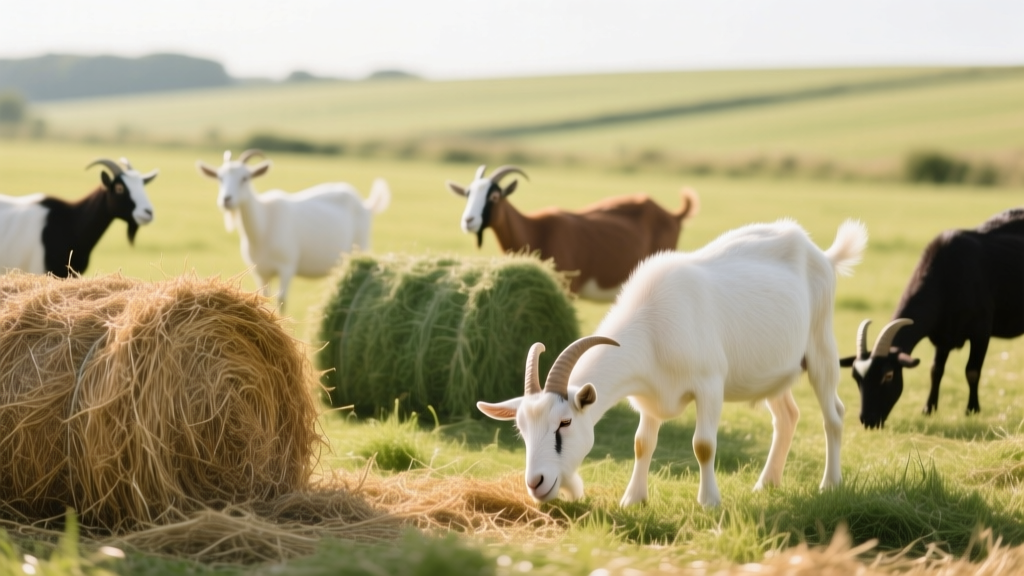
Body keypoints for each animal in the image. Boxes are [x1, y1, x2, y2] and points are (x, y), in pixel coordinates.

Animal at [196, 149, 390, 310]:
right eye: (220, 178)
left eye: (245, 178)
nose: (226, 200)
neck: (264, 225)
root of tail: (367, 205)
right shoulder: (261, 272)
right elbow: (263, 299)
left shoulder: (286, 267)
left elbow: (282, 301)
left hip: (361, 244)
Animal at [447, 165, 698, 301]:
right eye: (467, 194)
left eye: (494, 196)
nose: (468, 221)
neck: (536, 230)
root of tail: (673, 215)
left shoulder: (568, 288)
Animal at [479, 219, 866, 507]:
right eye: (521, 429)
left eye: (565, 422)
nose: (536, 482)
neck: (652, 325)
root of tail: (821, 254)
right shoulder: (648, 397)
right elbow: (641, 444)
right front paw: (633, 500)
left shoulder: (710, 385)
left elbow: (703, 445)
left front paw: (709, 503)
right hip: (772, 372)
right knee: (787, 416)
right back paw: (766, 484)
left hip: (820, 348)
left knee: (833, 415)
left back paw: (830, 484)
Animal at [840, 208, 1024, 429]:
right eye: (855, 377)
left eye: (888, 375)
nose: (868, 420)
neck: (947, 277)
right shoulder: (942, 337)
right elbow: (935, 371)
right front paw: (929, 409)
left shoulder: (981, 331)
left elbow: (972, 371)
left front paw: (972, 410)